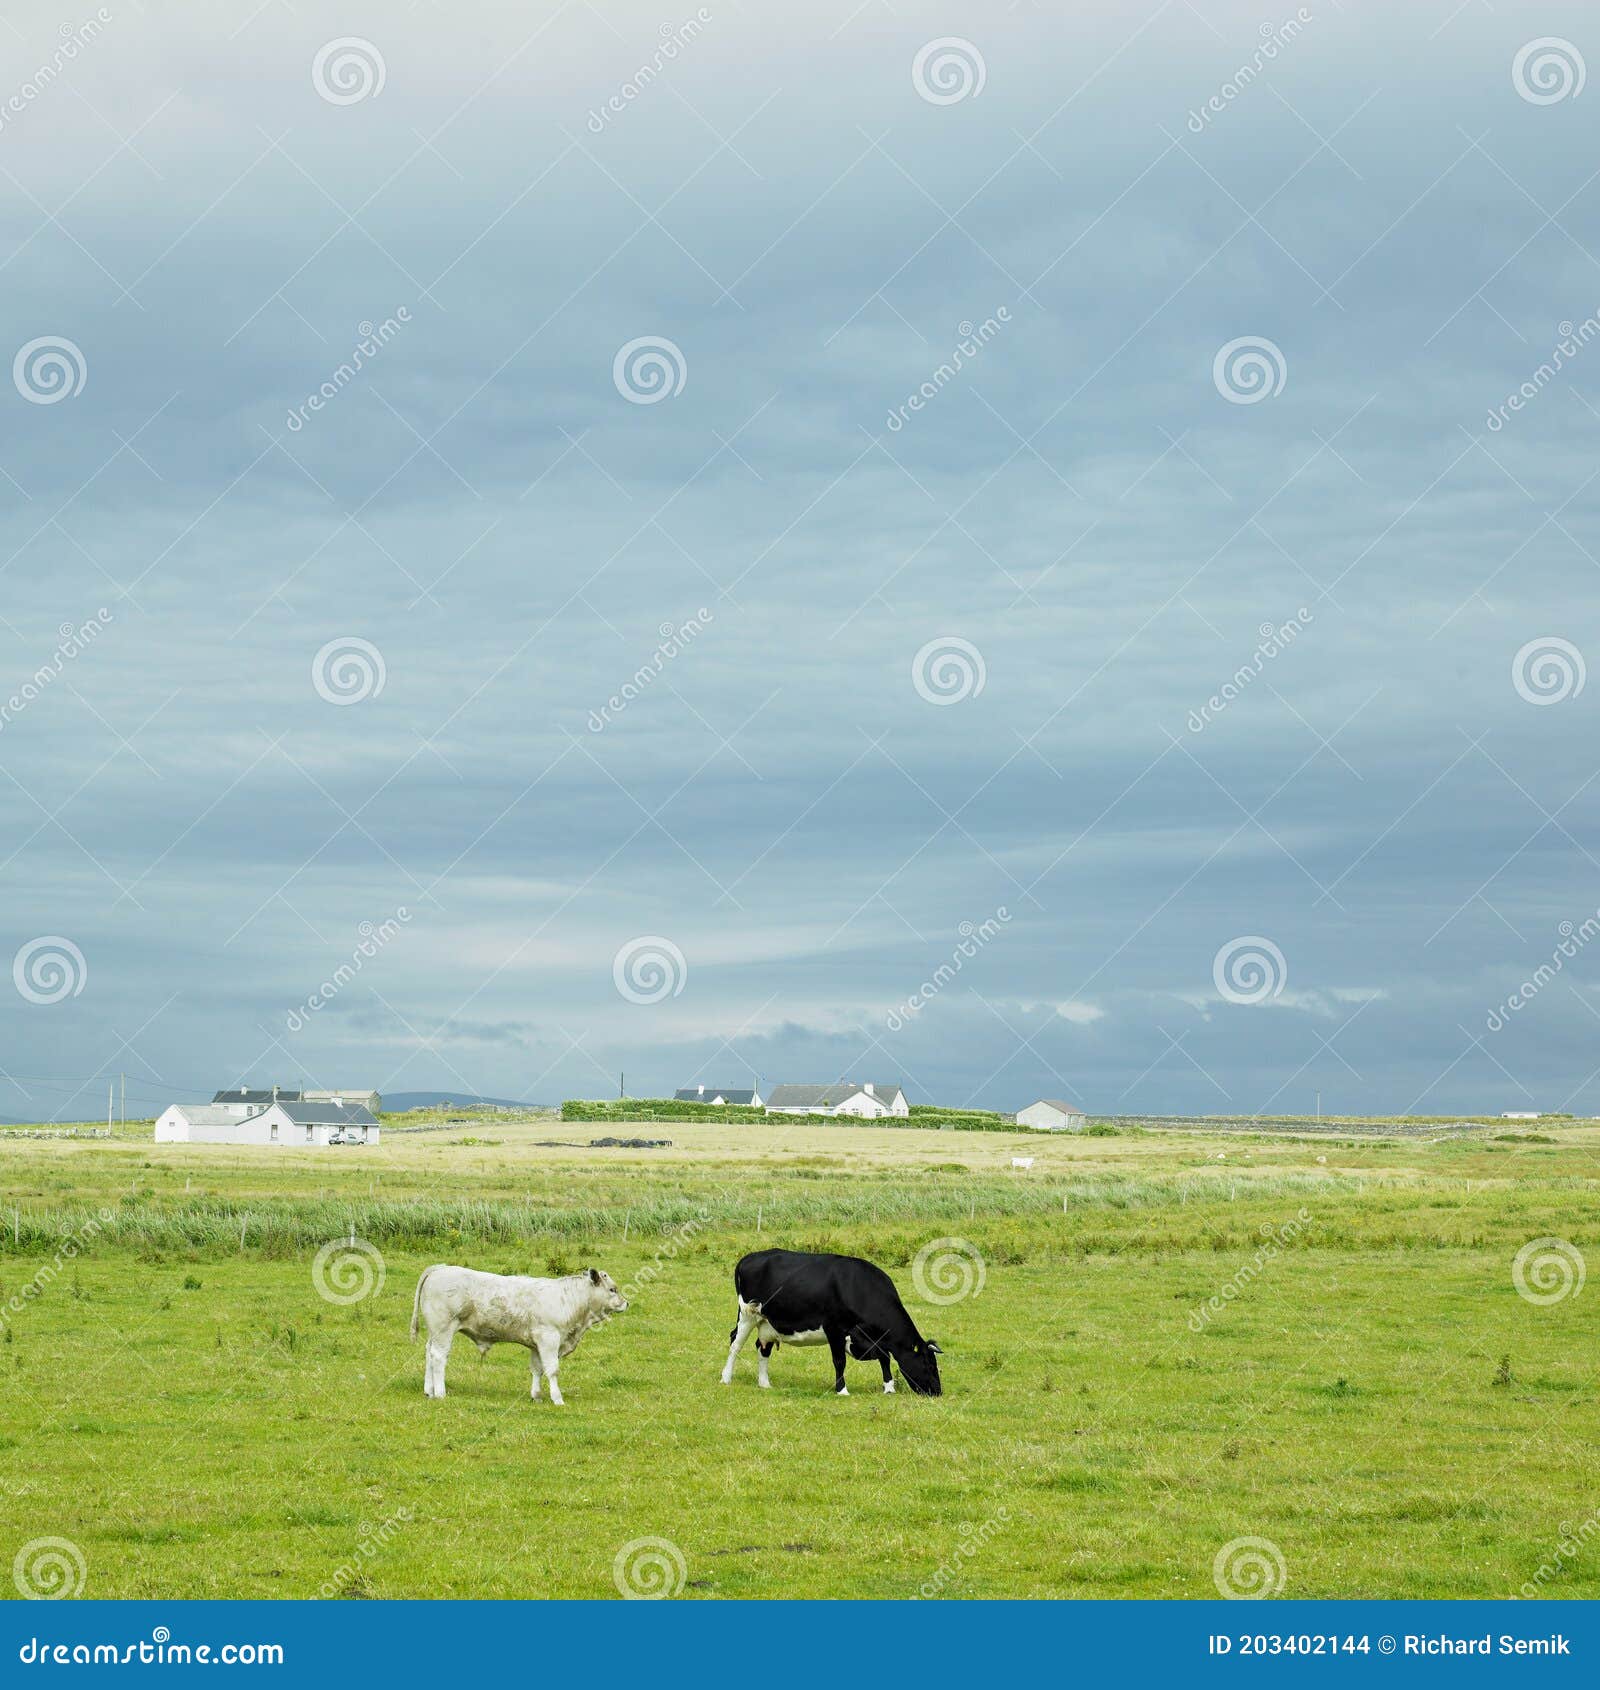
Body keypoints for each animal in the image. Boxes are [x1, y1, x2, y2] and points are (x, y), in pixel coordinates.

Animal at [410, 1264, 627, 1404]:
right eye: (612, 1289)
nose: (626, 1303)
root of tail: (440, 1268)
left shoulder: (537, 1344)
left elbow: (537, 1369)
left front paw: (536, 1396)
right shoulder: (549, 1338)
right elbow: (552, 1369)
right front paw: (557, 1398)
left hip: (435, 1332)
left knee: (429, 1354)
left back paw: (429, 1391)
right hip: (444, 1329)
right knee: (439, 1357)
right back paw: (440, 1392)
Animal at [720, 1248, 942, 1396]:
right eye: (928, 1364)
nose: (938, 1392)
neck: (858, 1288)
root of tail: (749, 1257)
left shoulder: (863, 1338)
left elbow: (884, 1356)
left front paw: (889, 1388)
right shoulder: (834, 1329)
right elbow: (840, 1361)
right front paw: (842, 1390)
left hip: (767, 1322)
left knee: (762, 1347)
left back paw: (764, 1383)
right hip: (748, 1314)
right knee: (735, 1343)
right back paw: (726, 1378)